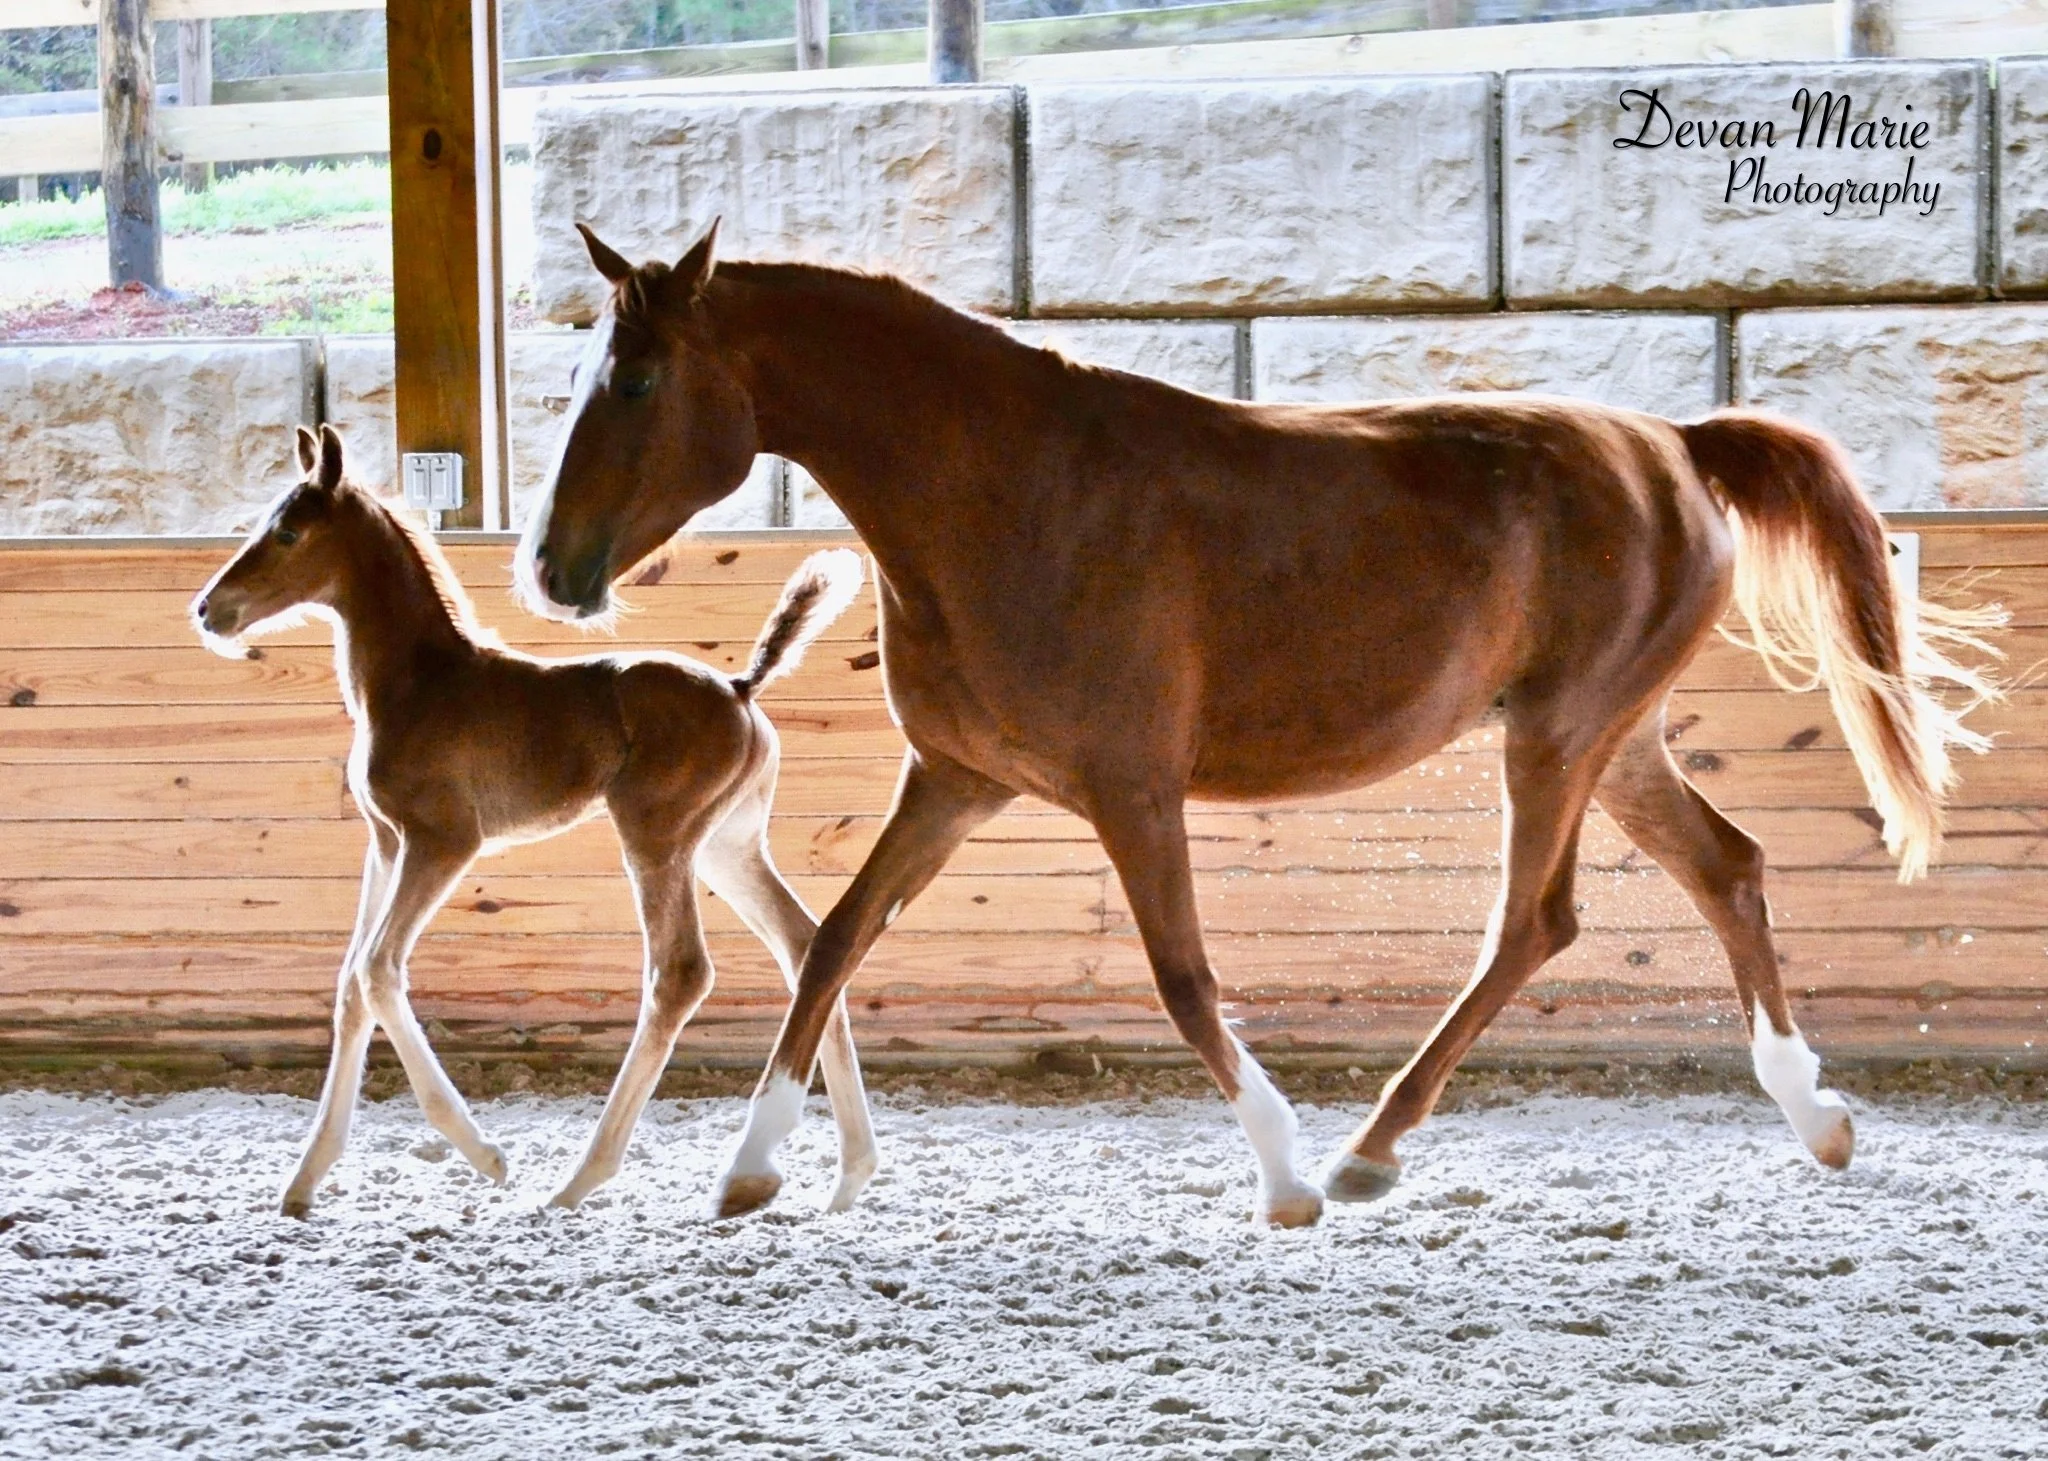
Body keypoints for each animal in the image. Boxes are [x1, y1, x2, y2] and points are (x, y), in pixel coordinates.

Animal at [192, 424, 878, 1216]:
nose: (208, 609)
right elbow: (349, 987)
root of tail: (742, 687)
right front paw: (304, 1179)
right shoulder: (385, 843)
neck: (418, 683)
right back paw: (850, 1173)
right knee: (807, 946)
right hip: (727, 847)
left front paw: (485, 1155)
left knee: (679, 972)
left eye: (288, 531)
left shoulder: (441, 841)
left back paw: (582, 1178)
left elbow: (378, 968)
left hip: (655, 836)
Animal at [519, 221, 1997, 1227]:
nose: (547, 567)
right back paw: (1816, 1118)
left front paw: (1282, 1170)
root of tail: (1676, 446)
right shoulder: (955, 782)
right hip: (1612, 740)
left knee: (1535, 923)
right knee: (1728, 867)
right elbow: (832, 942)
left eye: (636, 383)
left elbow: (1181, 978)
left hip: (1558, 739)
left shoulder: (1131, 787)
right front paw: (749, 1166)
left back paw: (1365, 1152)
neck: (1006, 488)